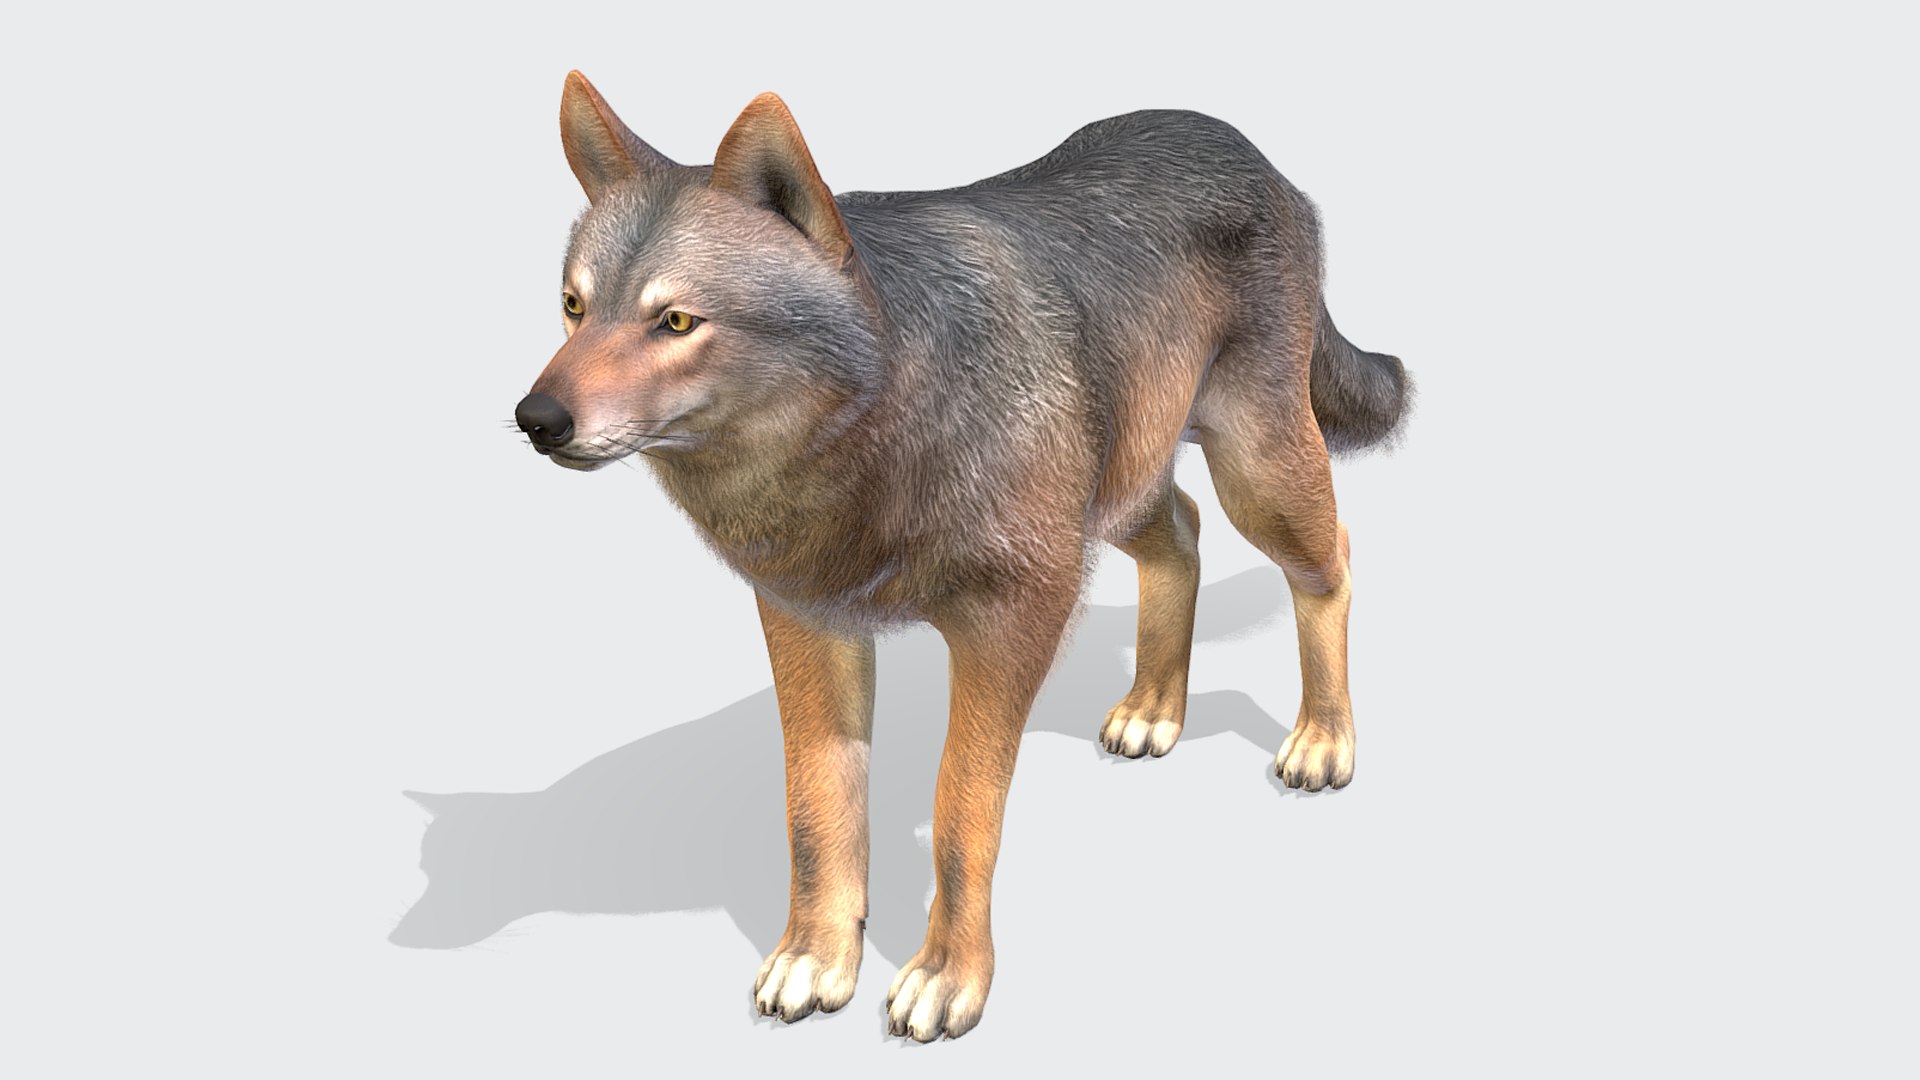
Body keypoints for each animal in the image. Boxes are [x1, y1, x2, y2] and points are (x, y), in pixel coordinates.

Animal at [514, 71, 1410, 1042]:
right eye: (573, 308)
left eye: (676, 320)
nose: (535, 419)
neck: (867, 434)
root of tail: (1245, 147)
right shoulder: (808, 620)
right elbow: (815, 808)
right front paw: (817, 959)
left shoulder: (1010, 618)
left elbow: (959, 811)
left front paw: (948, 977)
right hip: (1119, 487)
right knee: (1183, 535)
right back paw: (1152, 710)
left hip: (1256, 475)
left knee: (1331, 560)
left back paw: (1323, 738)